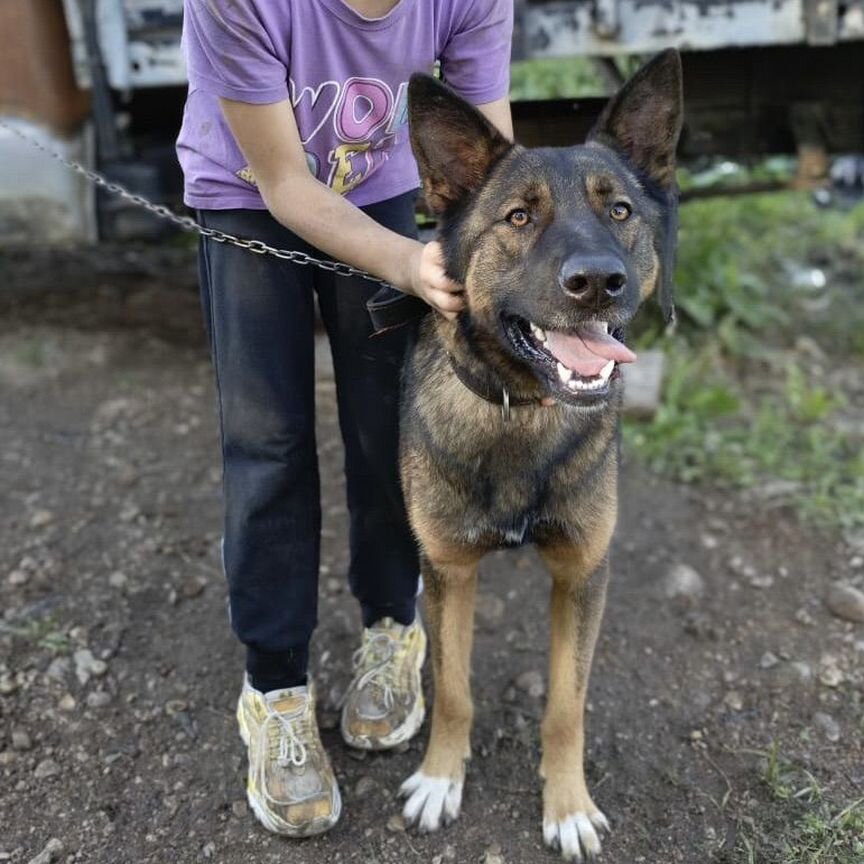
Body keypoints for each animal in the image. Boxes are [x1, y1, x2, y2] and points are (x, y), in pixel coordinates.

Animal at [394, 50, 684, 860]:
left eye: (620, 211)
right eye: (519, 217)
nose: (596, 284)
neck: (518, 413)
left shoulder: (584, 574)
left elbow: (565, 704)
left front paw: (568, 805)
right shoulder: (450, 570)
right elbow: (454, 691)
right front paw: (440, 777)